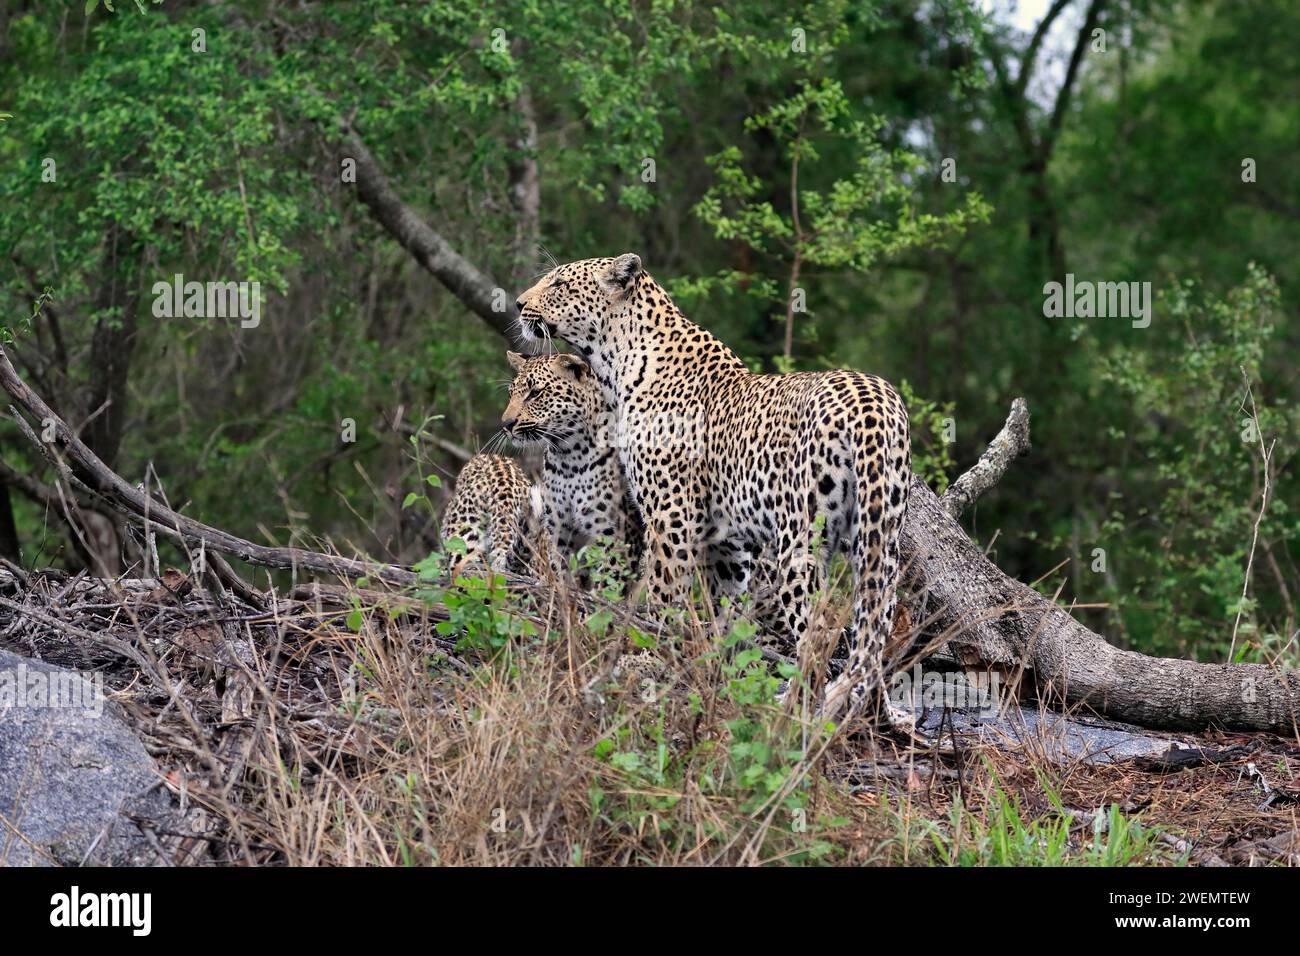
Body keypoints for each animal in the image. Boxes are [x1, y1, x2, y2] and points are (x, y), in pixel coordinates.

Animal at [512, 253, 914, 730]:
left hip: (802, 540)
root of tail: (872, 399)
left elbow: (664, 594)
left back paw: (791, 713)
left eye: (558, 283)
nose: (518, 304)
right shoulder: (728, 541)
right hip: (880, 538)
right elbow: (724, 611)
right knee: (875, 625)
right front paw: (716, 670)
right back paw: (877, 714)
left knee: (818, 634)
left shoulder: (671, 513)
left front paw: (649, 659)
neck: (619, 362)